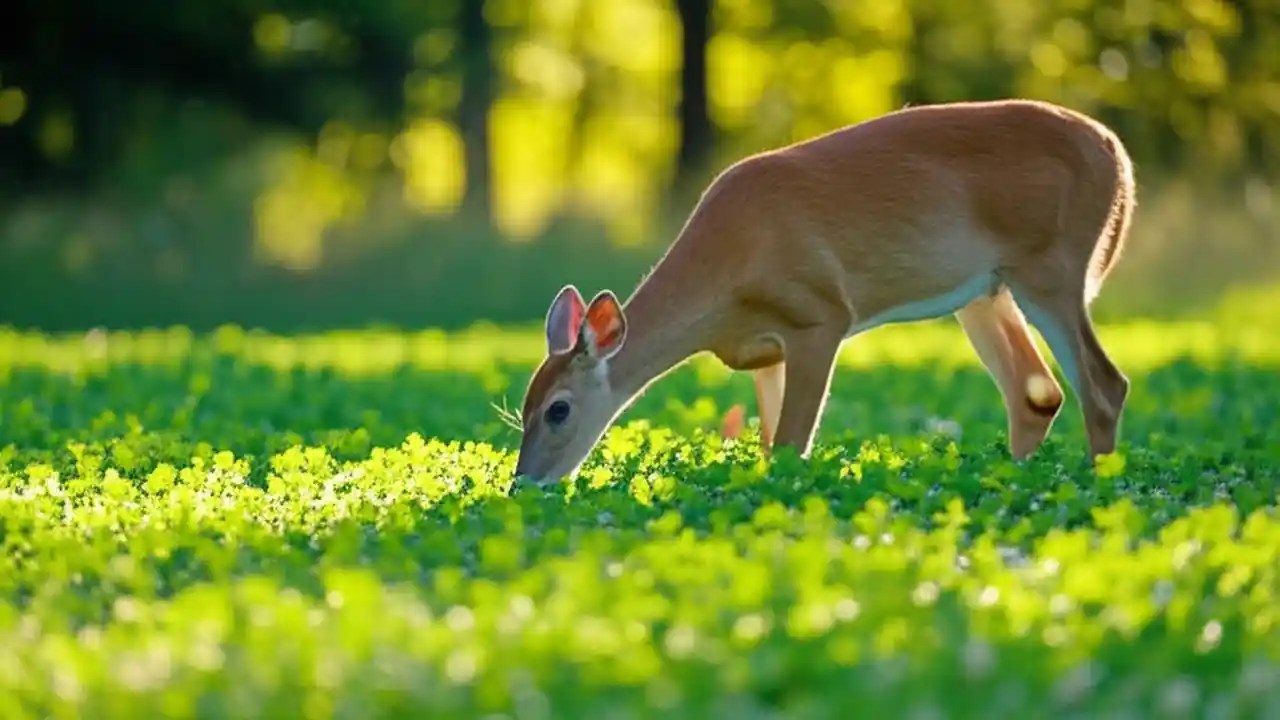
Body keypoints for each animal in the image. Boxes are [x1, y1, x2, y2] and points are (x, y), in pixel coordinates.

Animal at [512, 99, 1135, 487]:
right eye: (522, 407)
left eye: (558, 409)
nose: (524, 484)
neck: (728, 275)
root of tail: (1118, 155)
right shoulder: (763, 351)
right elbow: (770, 445)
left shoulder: (819, 314)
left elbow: (792, 447)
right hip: (985, 290)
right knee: (1036, 393)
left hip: (1051, 265)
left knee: (1105, 384)